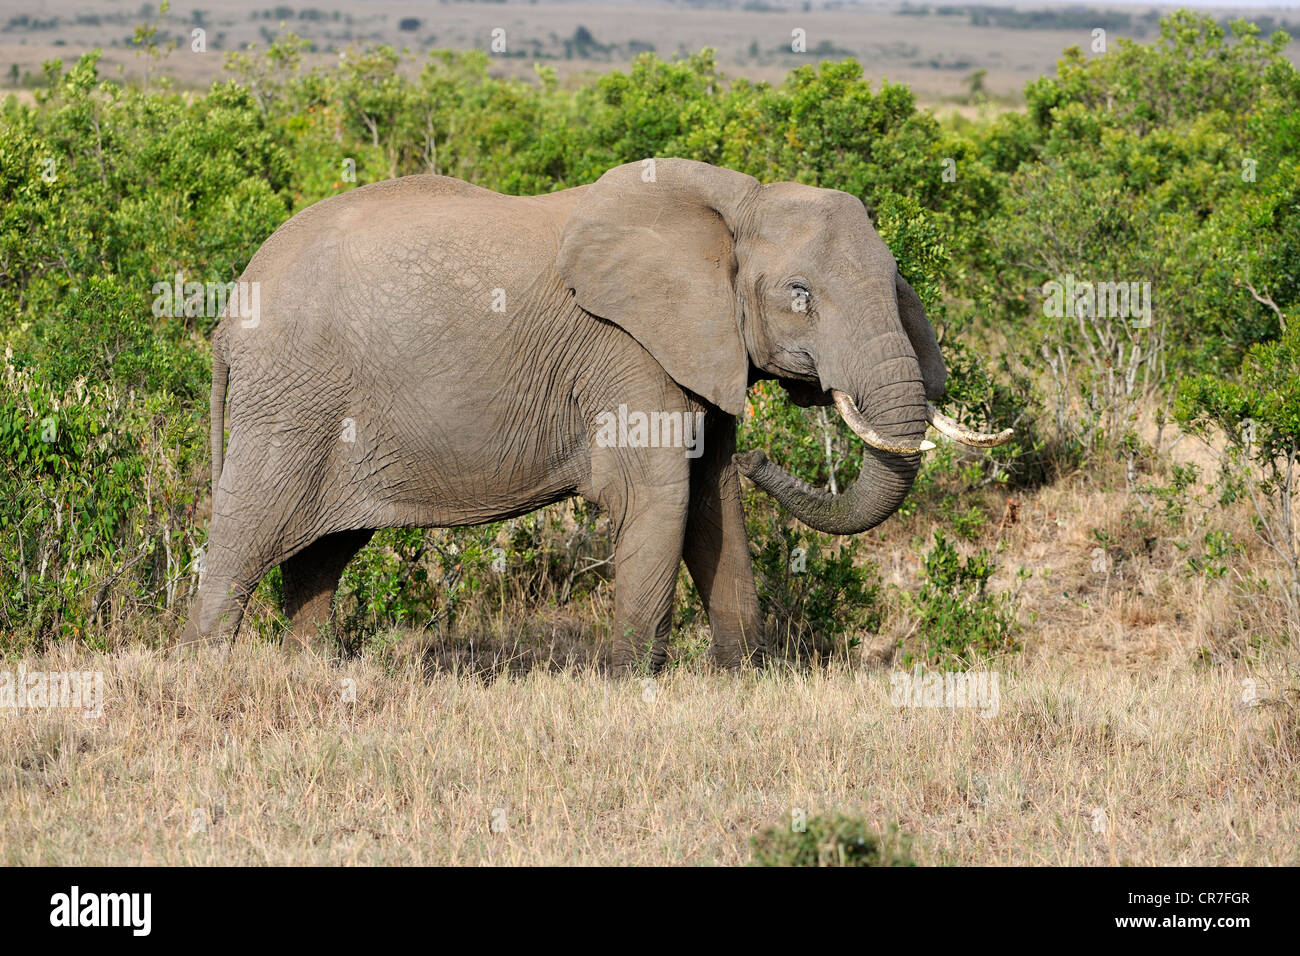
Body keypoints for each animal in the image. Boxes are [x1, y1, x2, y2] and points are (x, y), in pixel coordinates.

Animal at [180, 158, 1010, 670]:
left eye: (896, 283)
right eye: (800, 295)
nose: (766, 459)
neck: (737, 202)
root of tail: (227, 311)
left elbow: (712, 504)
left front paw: (745, 677)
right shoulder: (629, 349)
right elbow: (659, 498)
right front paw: (630, 686)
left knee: (321, 555)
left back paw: (313, 675)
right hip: (291, 402)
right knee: (247, 537)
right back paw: (207, 678)